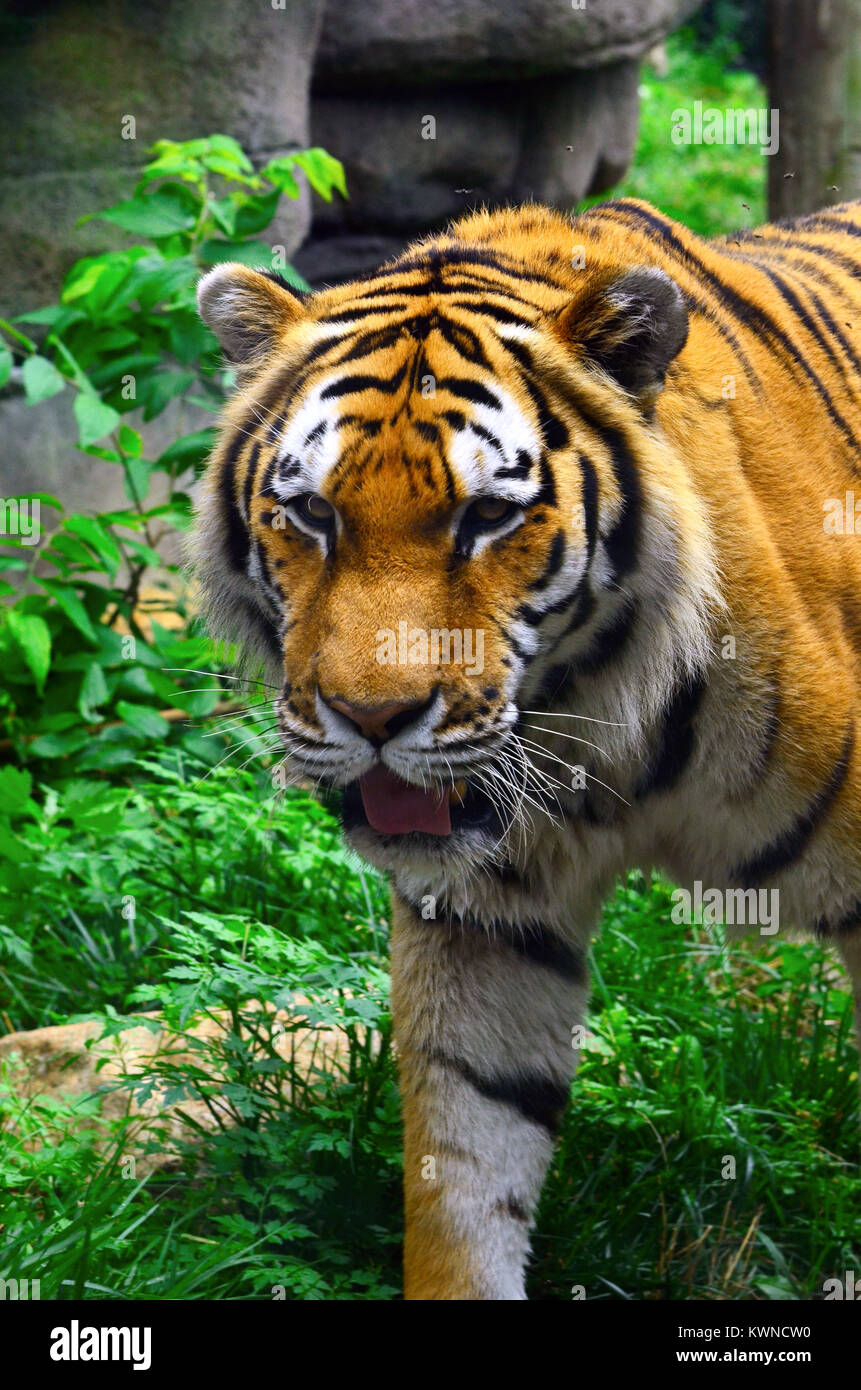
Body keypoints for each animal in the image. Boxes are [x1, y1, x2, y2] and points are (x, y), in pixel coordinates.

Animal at [192, 196, 861, 1301]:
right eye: (313, 513)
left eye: (487, 517)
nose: (372, 719)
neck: (604, 733)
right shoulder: (488, 919)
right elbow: (468, 1169)